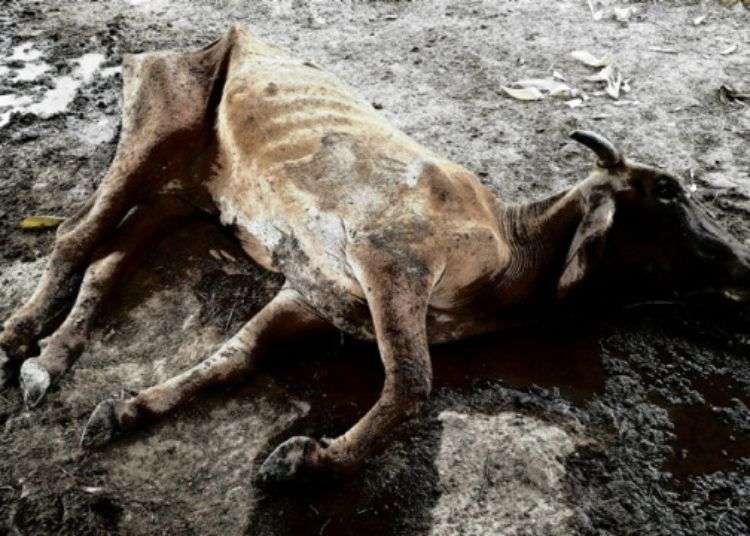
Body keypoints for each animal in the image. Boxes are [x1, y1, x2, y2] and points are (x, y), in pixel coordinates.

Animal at [0, 25, 747, 486]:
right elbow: (413, 384)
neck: (514, 247)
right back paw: (21, 335)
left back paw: (53, 358)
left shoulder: (312, 297)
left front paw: (129, 409)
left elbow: (233, 356)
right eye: (667, 191)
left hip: (188, 191)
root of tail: (213, 40)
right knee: (76, 234)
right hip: (157, 129)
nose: (740, 259)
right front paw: (310, 461)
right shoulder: (388, 264)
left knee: (109, 257)